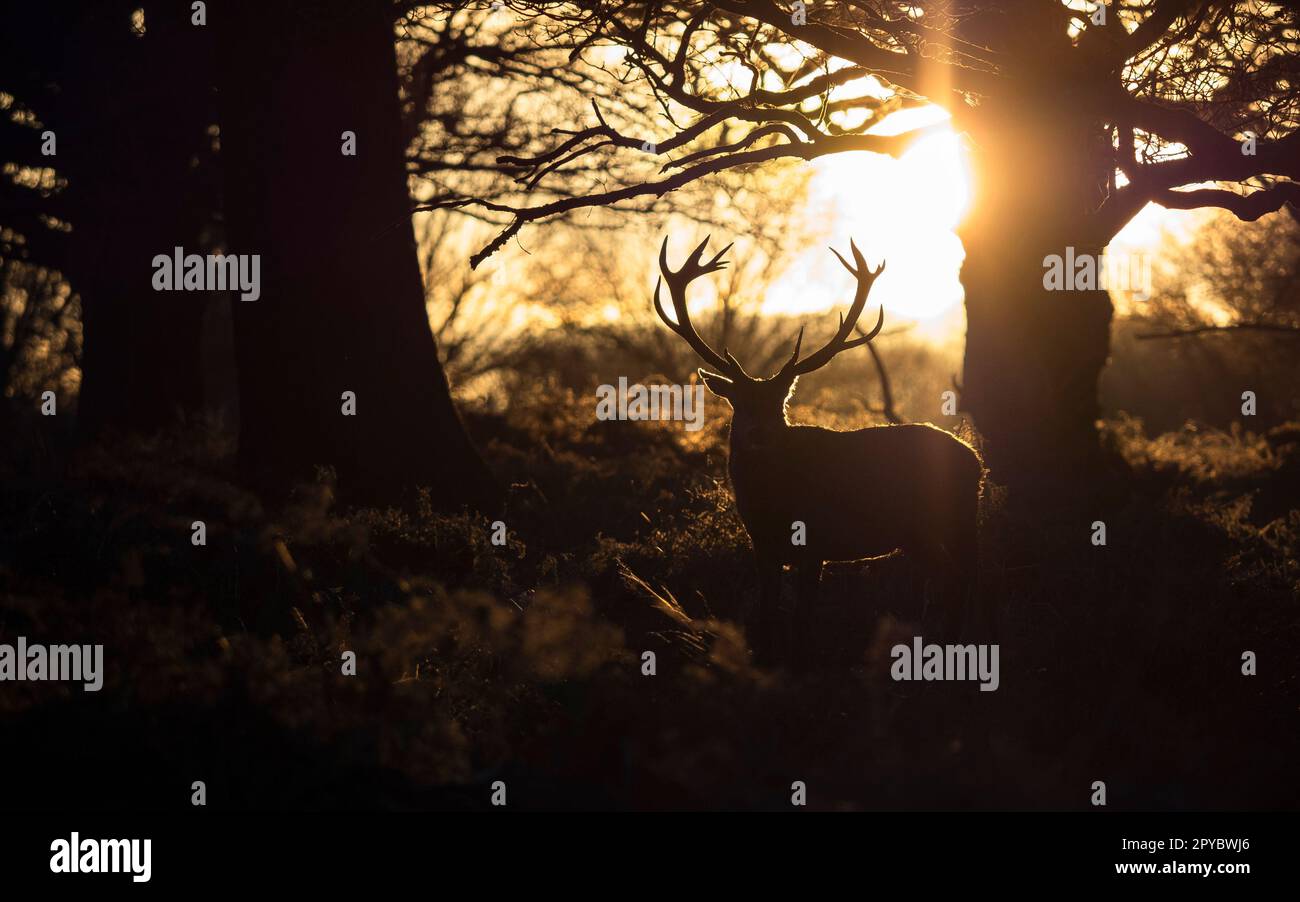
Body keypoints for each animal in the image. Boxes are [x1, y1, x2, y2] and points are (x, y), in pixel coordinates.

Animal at [653, 236, 986, 662]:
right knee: (957, 578)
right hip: (936, 529)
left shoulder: (815, 542)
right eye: (738, 402)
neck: (771, 502)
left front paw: (797, 661)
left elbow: (802, 619)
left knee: (959, 579)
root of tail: (974, 460)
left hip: (940, 522)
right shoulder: (762, 547)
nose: (759, 432)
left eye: (781, 400)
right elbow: (766, 614)